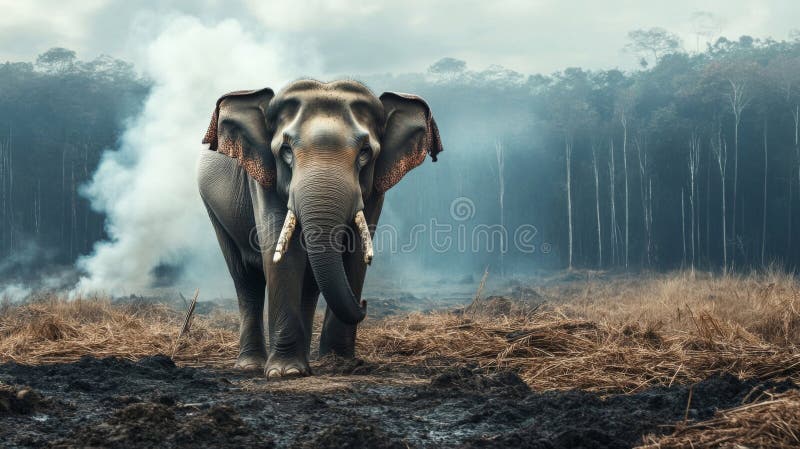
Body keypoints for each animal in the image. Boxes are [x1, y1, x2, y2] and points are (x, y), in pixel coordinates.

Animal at [197, 80, 442, 378]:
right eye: (286, 151)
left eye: (365, 153)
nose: (364, 303)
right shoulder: (264, 178)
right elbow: (282, 255)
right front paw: (286, 373)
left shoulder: (374, 190)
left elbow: (354, 255)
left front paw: (340, 364)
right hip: (214, 210)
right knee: (246, 278)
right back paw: (251, 365)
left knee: (310, 283)